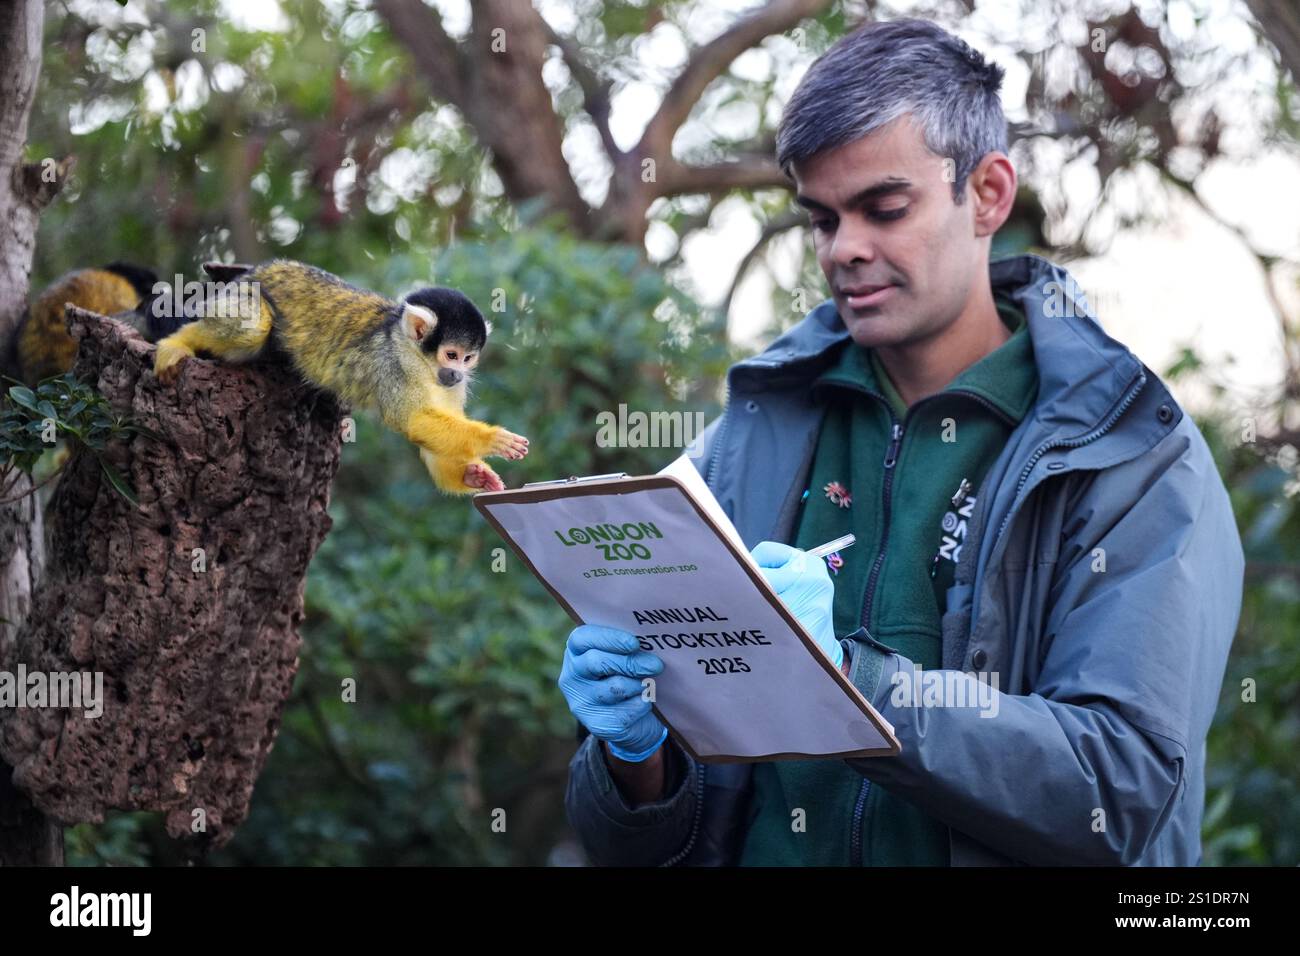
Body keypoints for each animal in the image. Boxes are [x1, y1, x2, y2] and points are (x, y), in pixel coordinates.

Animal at [151, 259, 529, 495]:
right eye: (451, 355)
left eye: (467, 358)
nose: (456, 374)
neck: (417, 357)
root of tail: (260, 267)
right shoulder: (392, 365)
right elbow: (414, 421)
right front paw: (493, 439)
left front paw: (474, 475)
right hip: (241, 297)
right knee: (251, 328)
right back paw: (180, 340)